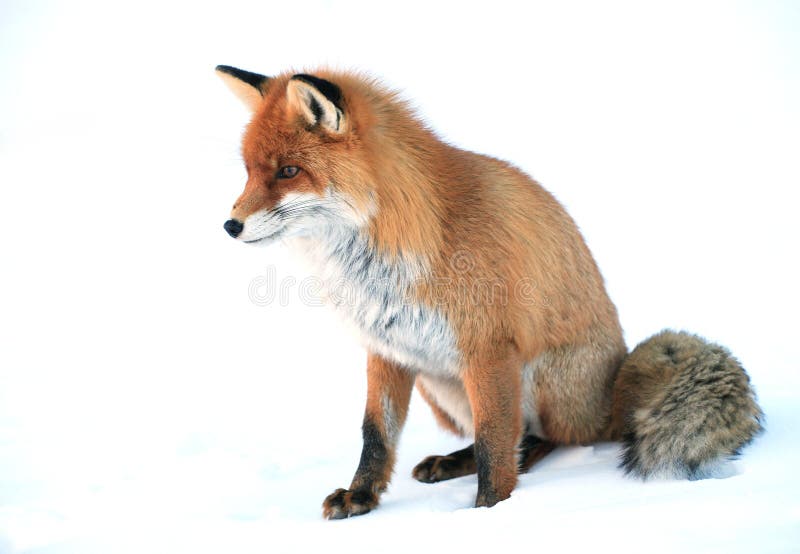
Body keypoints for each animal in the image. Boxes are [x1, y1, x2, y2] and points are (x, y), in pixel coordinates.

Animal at [215, 65, 764, 519]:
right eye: (249, 170)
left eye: (288, 171)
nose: (230, 226)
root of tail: (615, 386)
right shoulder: (386, 349)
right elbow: (377, 435)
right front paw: (361, 497)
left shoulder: (489, 349)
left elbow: (495, 443)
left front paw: (490, 511)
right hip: (438, 385)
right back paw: (448, 461)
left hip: (537, 378)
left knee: (543, 437)